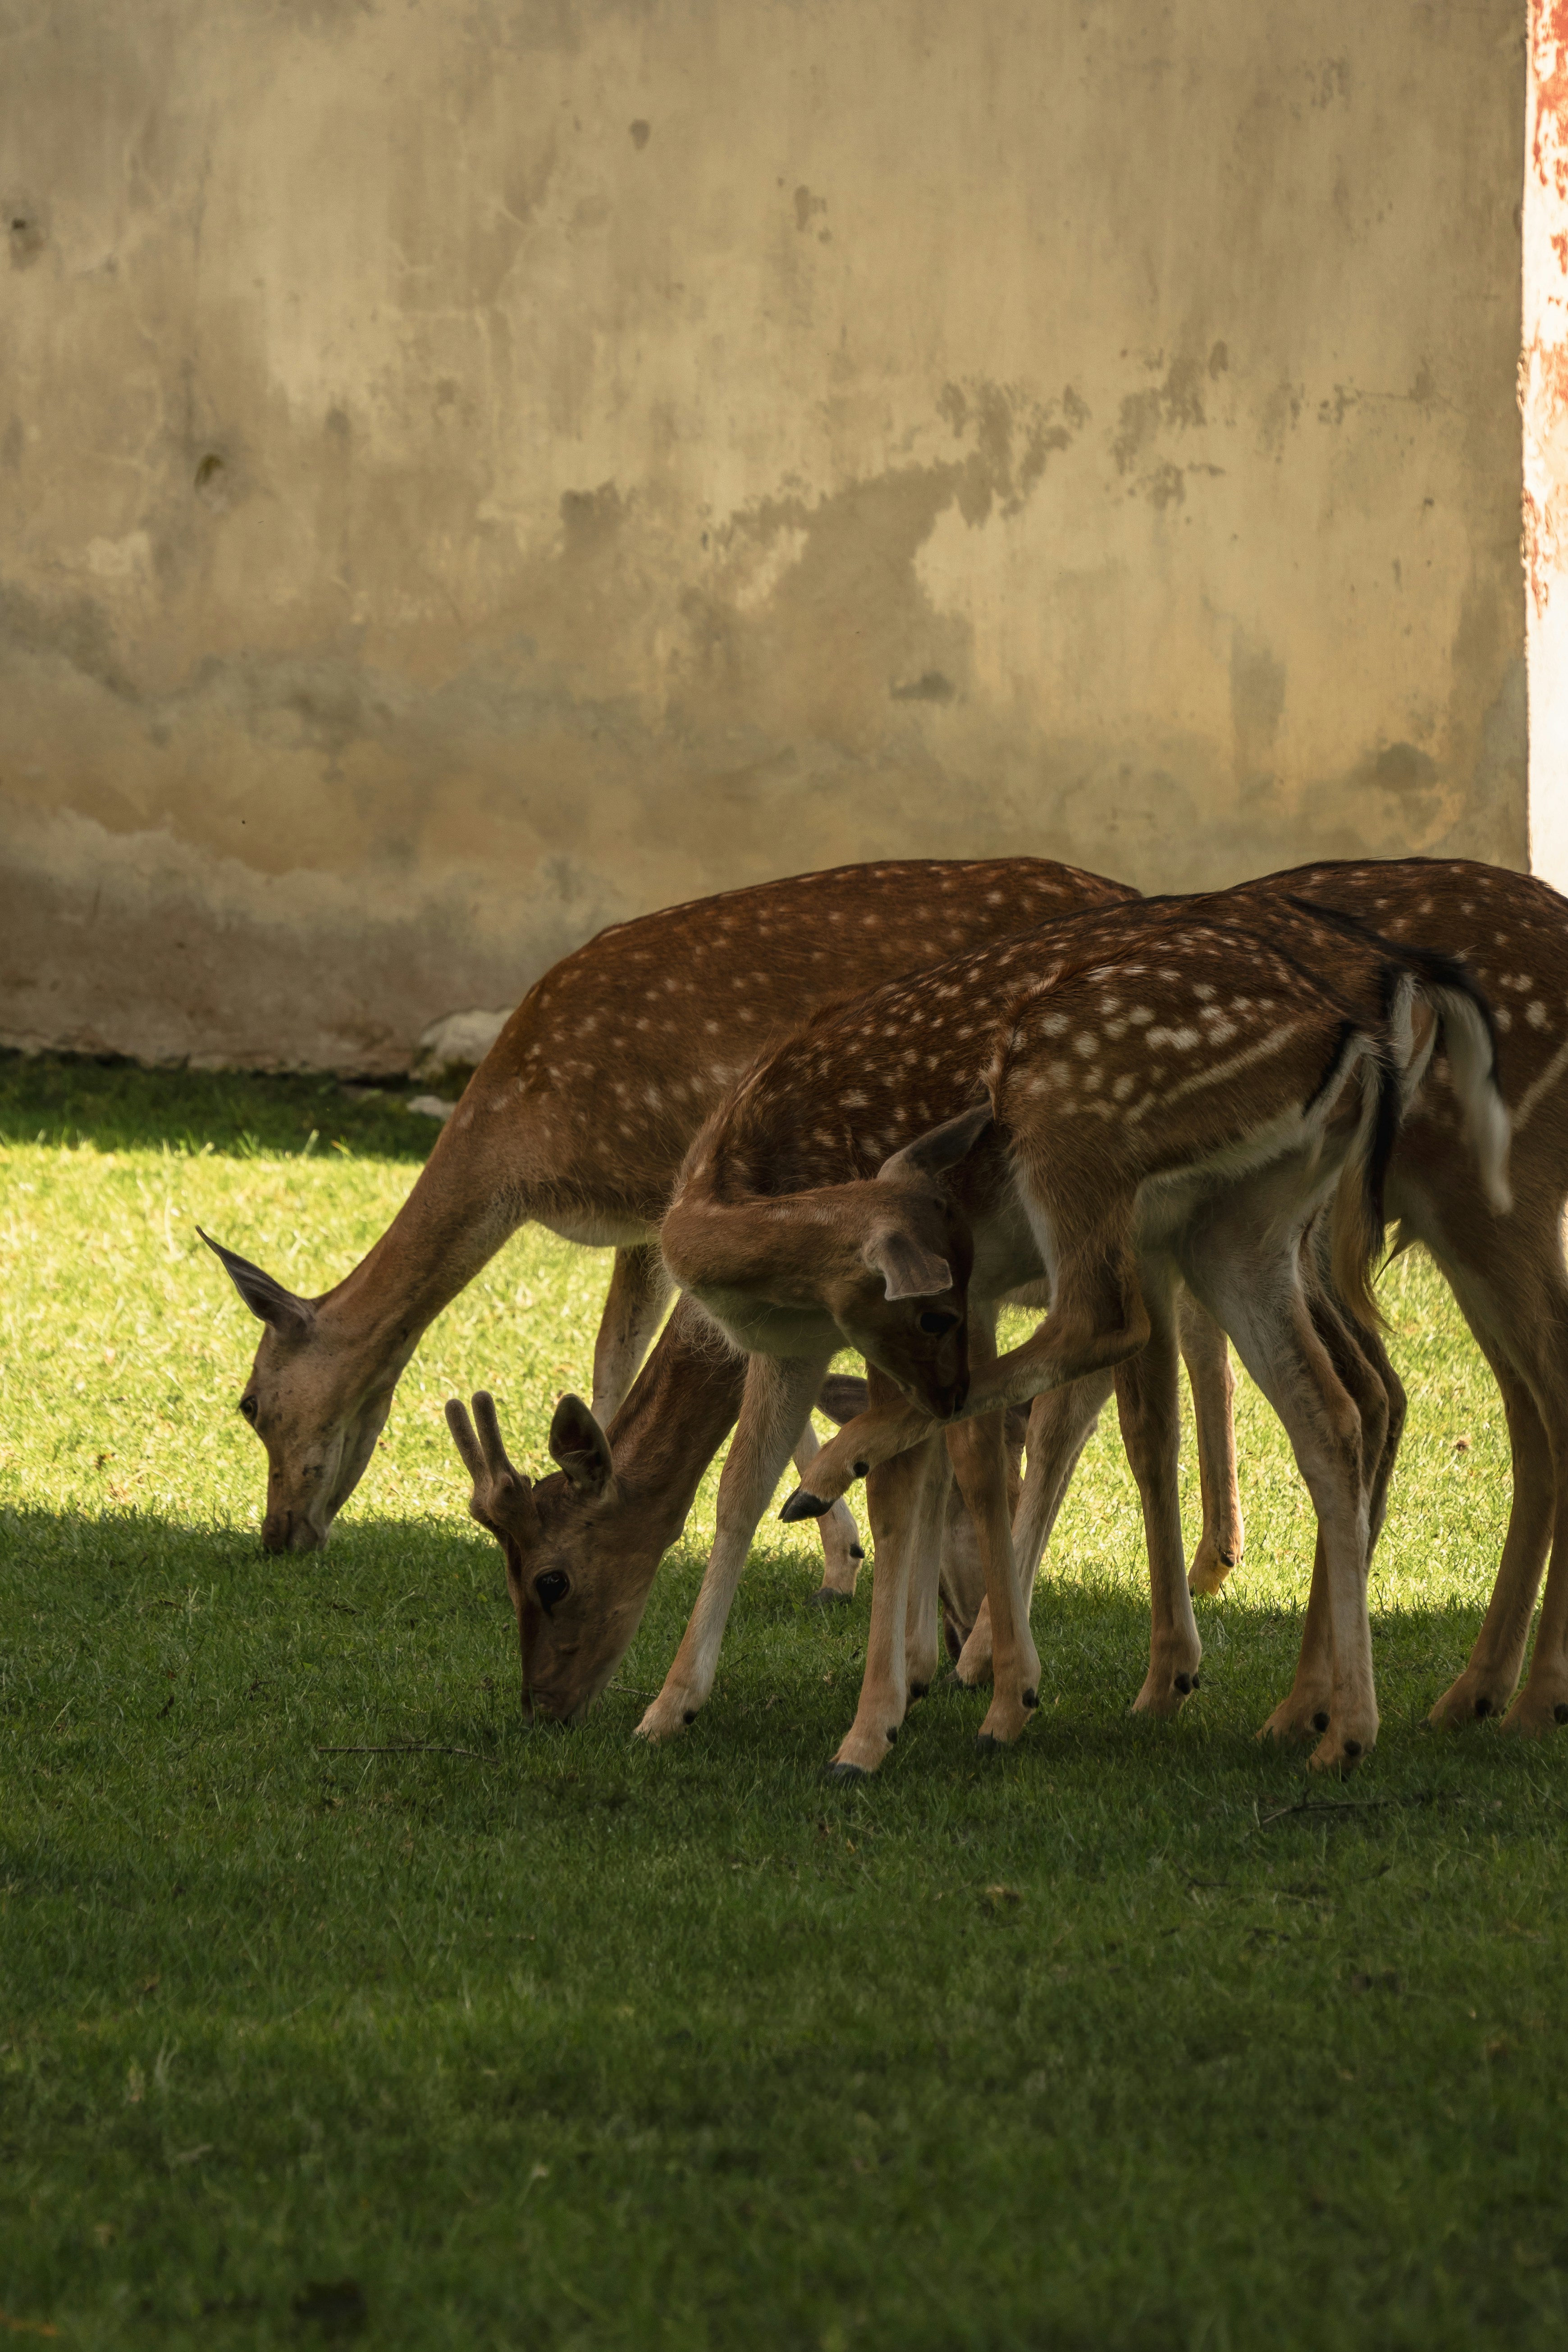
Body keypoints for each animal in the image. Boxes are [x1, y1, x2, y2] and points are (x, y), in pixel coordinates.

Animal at [658, 893, 1507, 1775]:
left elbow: (926, 1477)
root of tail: (1358, 1026)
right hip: (1240, 1226)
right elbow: (740, 1485)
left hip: (1072, 1118)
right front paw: (671, 1705)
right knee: (1335, 1410)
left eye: (939, 1307)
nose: (946, 1386)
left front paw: (888, 1722)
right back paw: (1333, 1728)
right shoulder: (792, 1348)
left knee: (1106, 1324)